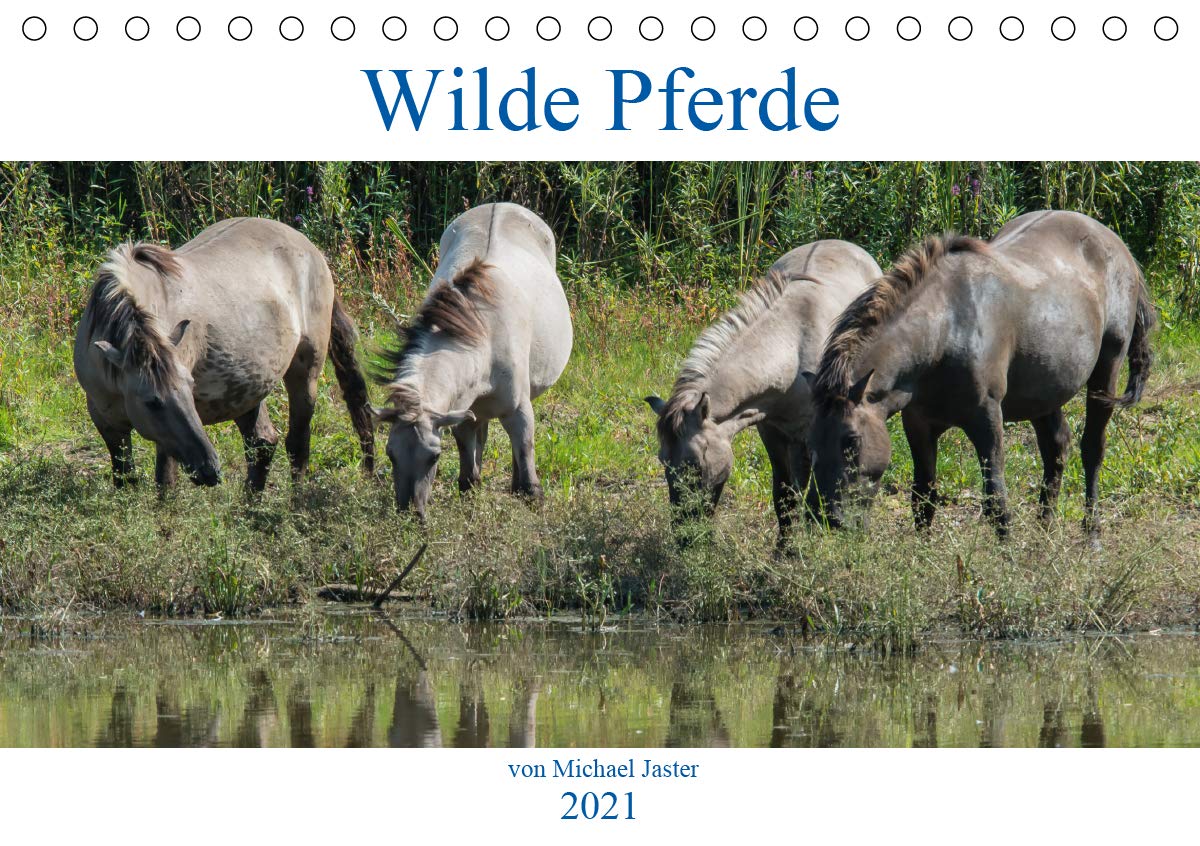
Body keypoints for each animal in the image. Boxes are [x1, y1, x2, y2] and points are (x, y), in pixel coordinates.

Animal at [74, 217, 375, 491]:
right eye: (152, 402)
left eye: (191, 387)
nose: (209, 468)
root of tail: (313, 252)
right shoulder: (107, 423)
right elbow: (125, 480)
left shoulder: (165, 441)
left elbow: (165, 485)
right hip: (247, 389)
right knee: (262, 444)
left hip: (305, 374)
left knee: (297, 446)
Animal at [374, 202, 572, 520]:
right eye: (391, 454)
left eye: (434, 457)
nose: (409, 512)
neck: (481, 333)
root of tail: (502, 204)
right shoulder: (461, 413)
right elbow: (469, 467)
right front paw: (471, 493)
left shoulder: (518, 409)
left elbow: (525, 451)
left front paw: (530, 494)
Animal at [645, 240, 881, 547]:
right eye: (663, 461)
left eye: (695, 464)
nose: (685, 537)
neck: (791, 350)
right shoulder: (771, 433)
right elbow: (783, 496)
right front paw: (784, 548)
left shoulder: (806, 439)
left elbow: (804, 492)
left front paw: (795, 549)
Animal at [807, 210, 1155, 543]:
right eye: (812, 440)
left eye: (851, 440)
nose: (825, 516)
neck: (944, 330)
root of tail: (1115, 243)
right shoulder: (918, 424)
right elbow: (923, 498)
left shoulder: (986, 418)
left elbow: (995, 500)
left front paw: (1007, 557)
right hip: (1045, 391)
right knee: (1056, 449)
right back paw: (1044, 533)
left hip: (1106, 373)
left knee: (1092, 449)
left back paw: (1091, 533)